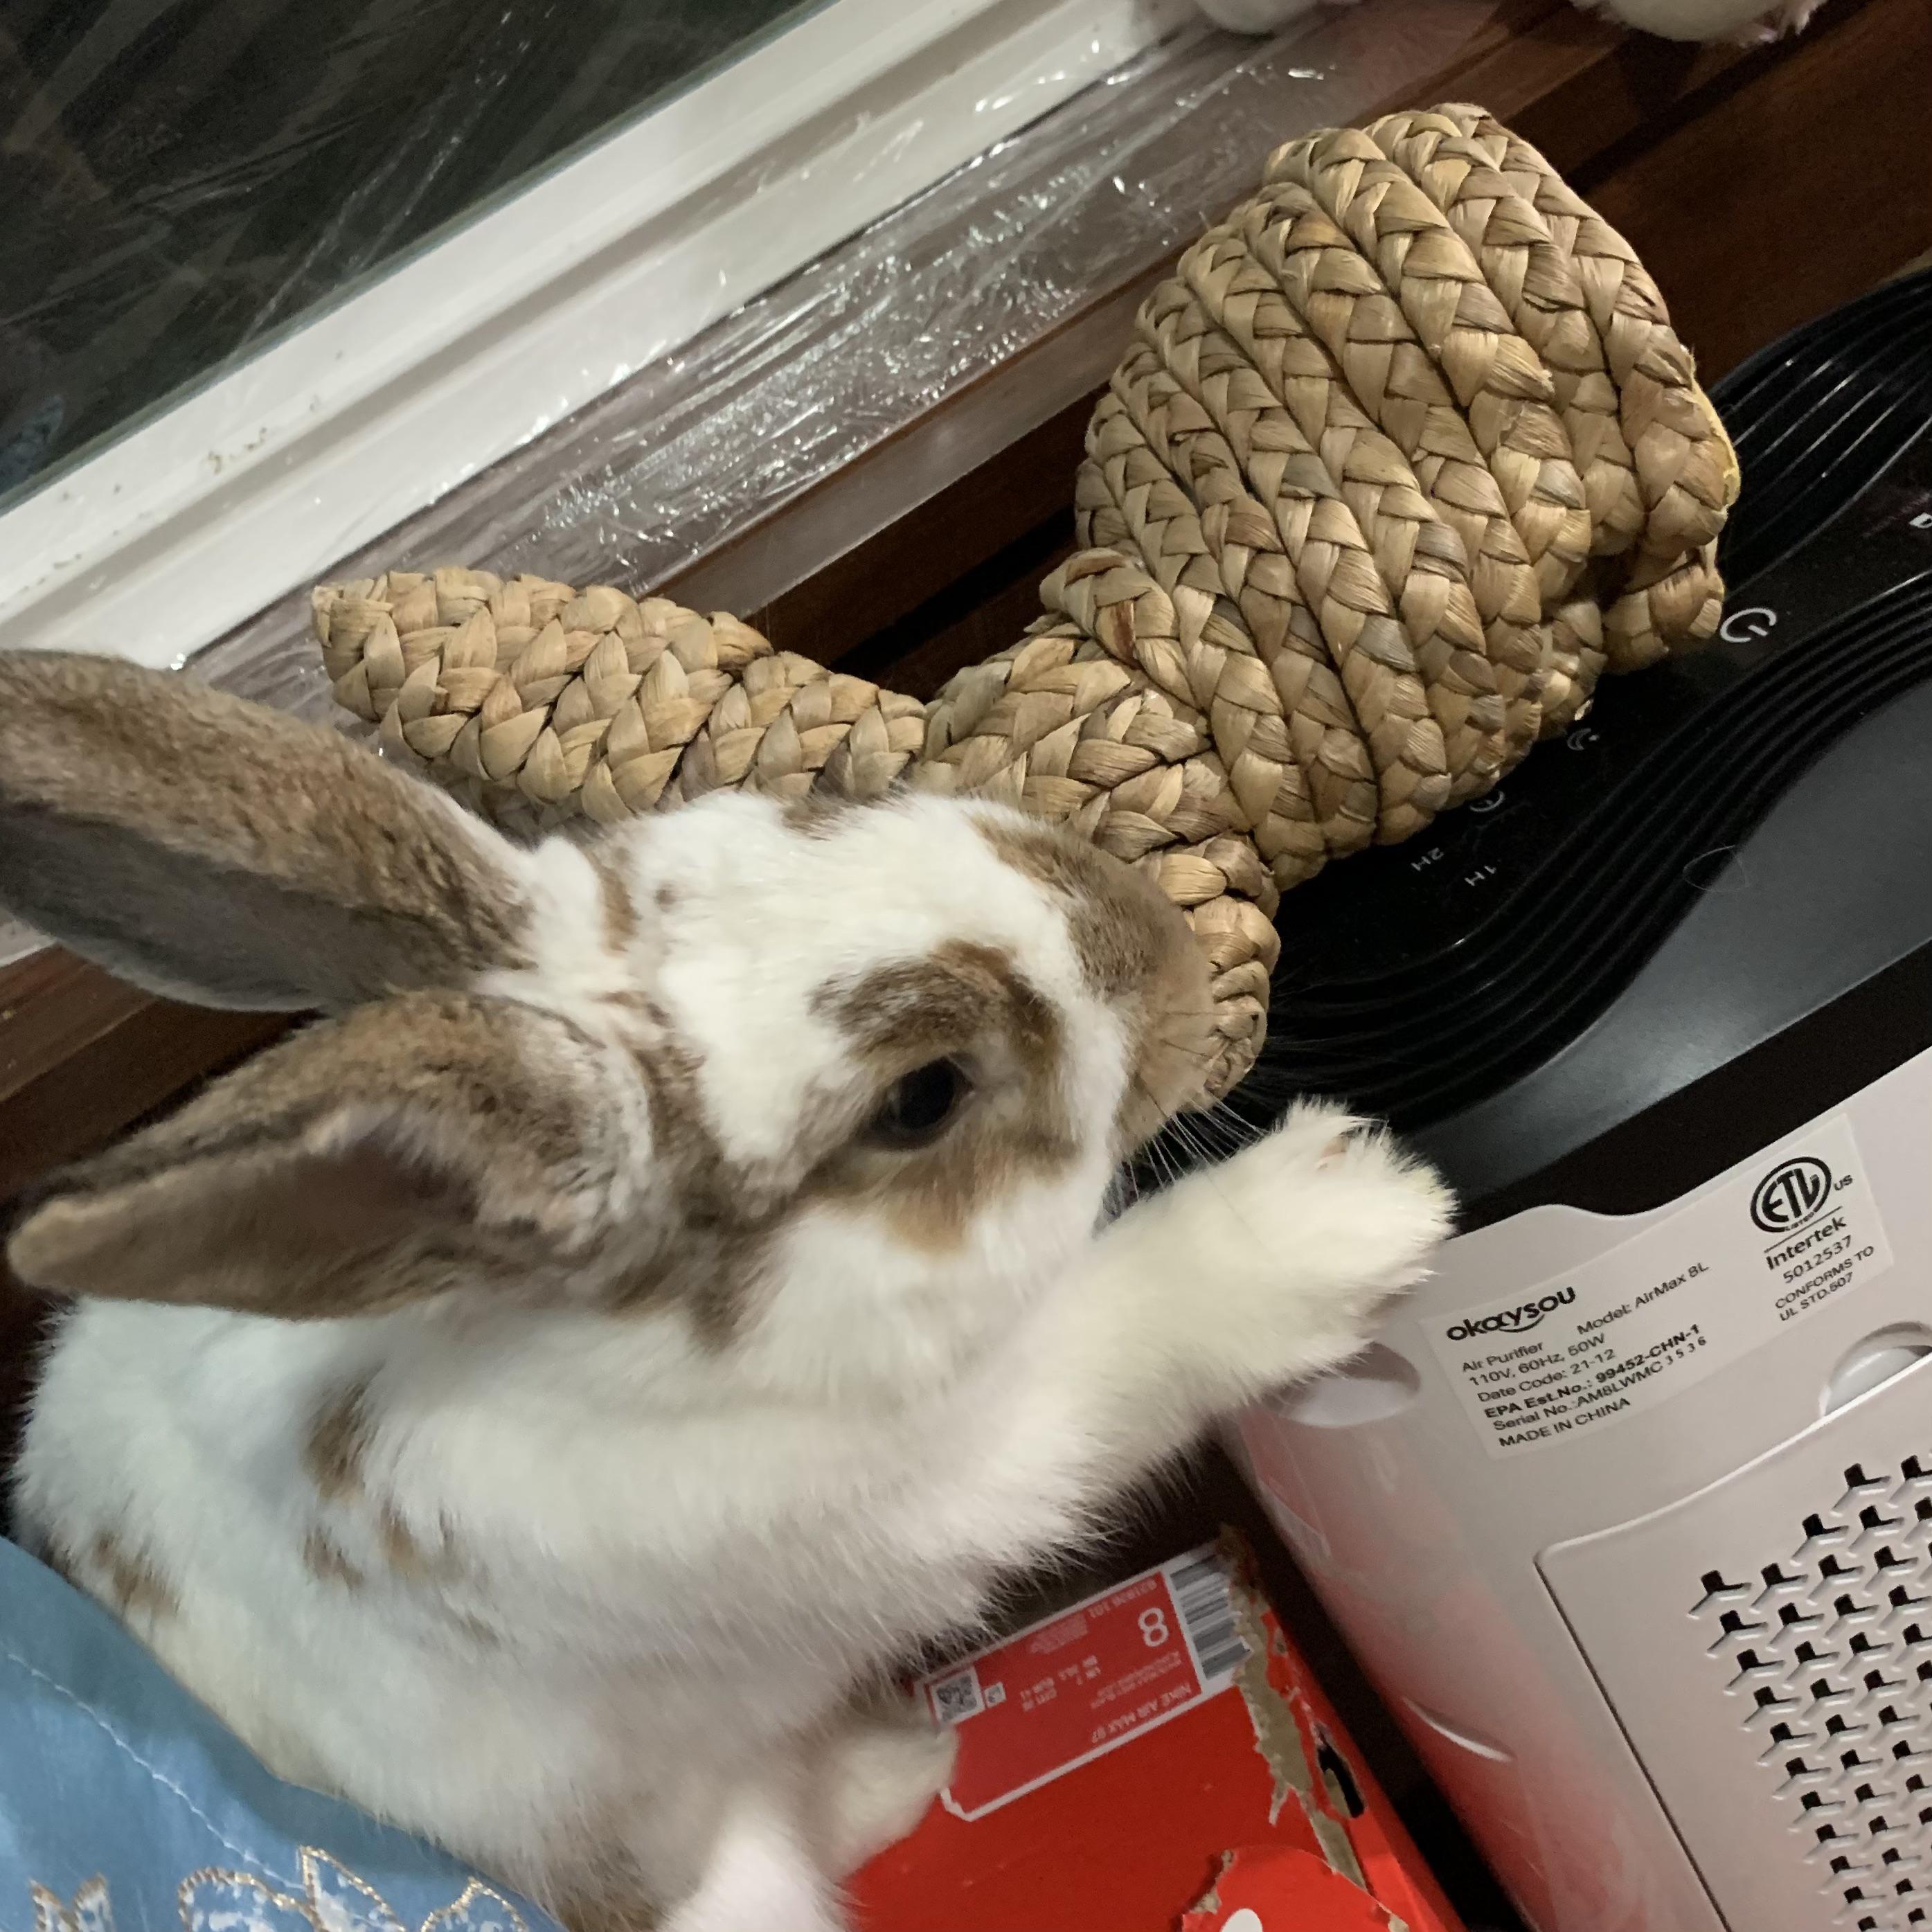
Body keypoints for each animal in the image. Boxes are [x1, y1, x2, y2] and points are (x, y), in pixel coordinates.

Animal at [0, 649, 1452, 1932]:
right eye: (922, 1099)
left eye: (807, 813)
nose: (1168, 955)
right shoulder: (971, 1460)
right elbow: (1138, 1330)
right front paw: (1354, 1205)